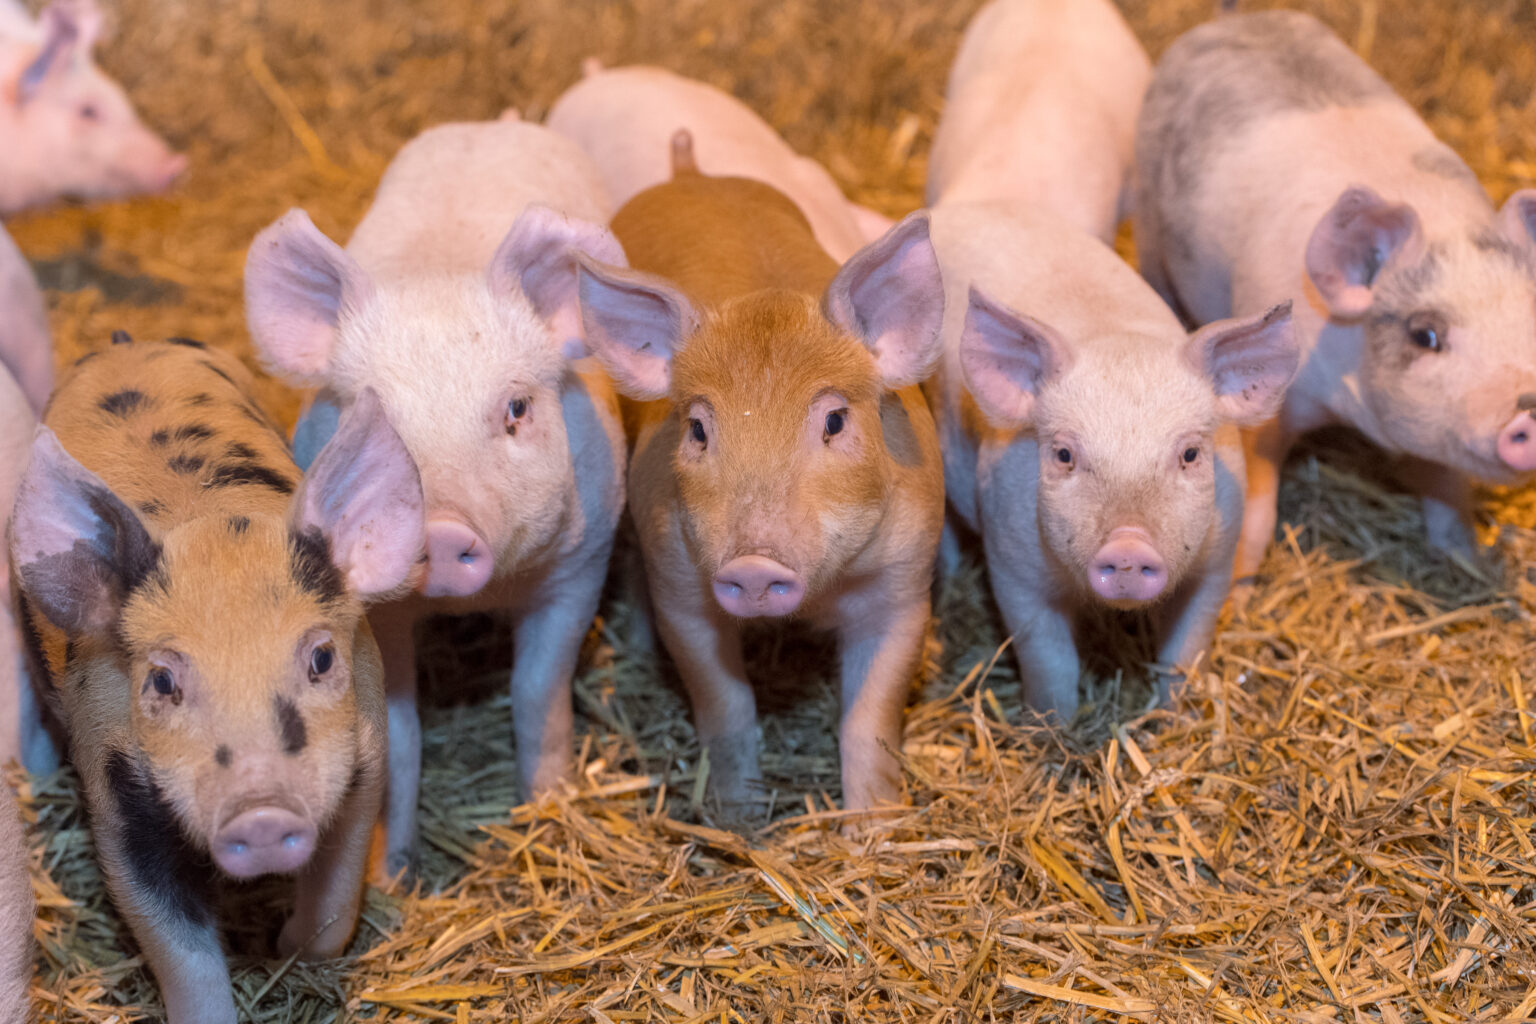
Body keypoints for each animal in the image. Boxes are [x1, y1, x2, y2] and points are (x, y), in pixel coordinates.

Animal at [8, 337, 423, 1024]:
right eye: (161, 680)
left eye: (321, 659)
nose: (260, 813)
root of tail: (130, 343)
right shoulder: (116, 794)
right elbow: (181, 953)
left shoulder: (366, 753)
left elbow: (334, 904)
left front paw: (286, 947)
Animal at [244, 118, 627, 877]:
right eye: (370, 419)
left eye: (516, 408)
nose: (442, 528)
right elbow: (398, 727)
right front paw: (389, 875)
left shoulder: (583, 560)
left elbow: (537, 692)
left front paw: (546, 811)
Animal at [574, 132, 946, 815]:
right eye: (698, 428)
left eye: (834, 420)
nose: (752, 565)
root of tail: (689, 171)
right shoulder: (681, 588)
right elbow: (724, 706)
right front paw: (738, 815)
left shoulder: (906, 587)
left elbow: (871, 721)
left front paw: (873, 826)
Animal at [928, 201, 1298, 717]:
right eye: (1064, 454)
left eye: (1189, 454)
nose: (1128, 546)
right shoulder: (1010, 562)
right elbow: (1049, 661)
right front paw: (1052, 723)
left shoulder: (1218, 559)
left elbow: (1184, 653)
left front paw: (1177, 715)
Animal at [1135, 10, 1536, 584]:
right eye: (1425, 334)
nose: (1528, 406)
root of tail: (1234, 17)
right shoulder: (1267, 399)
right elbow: (1258, 500)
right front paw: (1239, 585)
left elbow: (1447, 489)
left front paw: (1465, 557)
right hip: (1147, 214)